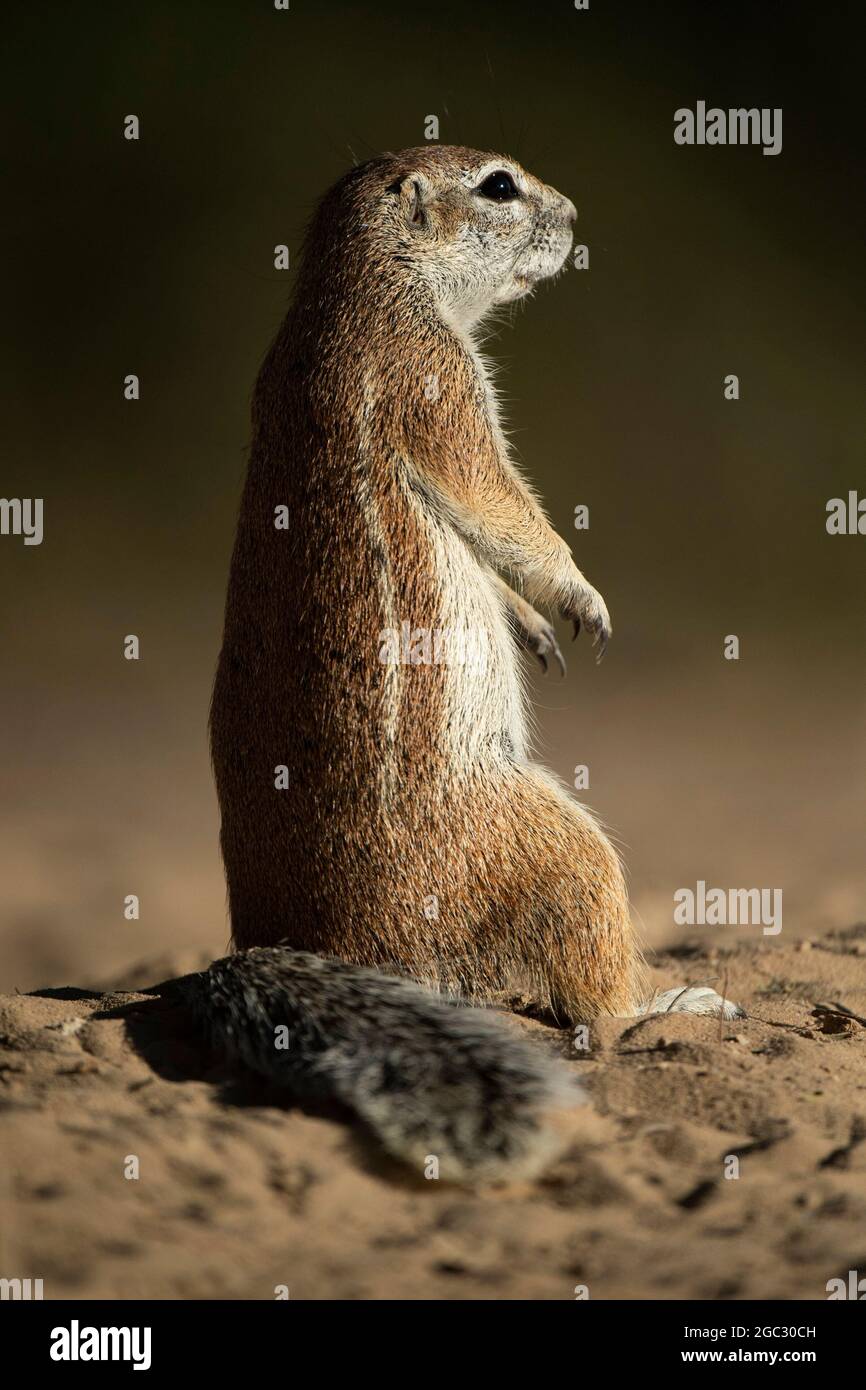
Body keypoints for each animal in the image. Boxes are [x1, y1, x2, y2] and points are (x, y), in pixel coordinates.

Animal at [173, 146, 742, 1183]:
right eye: (499, 186)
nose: (575, 214)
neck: (370, 287)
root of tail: (304, 944)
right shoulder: (436, 381)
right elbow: (500, 502)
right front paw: (580, 598)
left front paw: (536, 629)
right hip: (557, 848)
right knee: (594, 1006)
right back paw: (671, 1001)